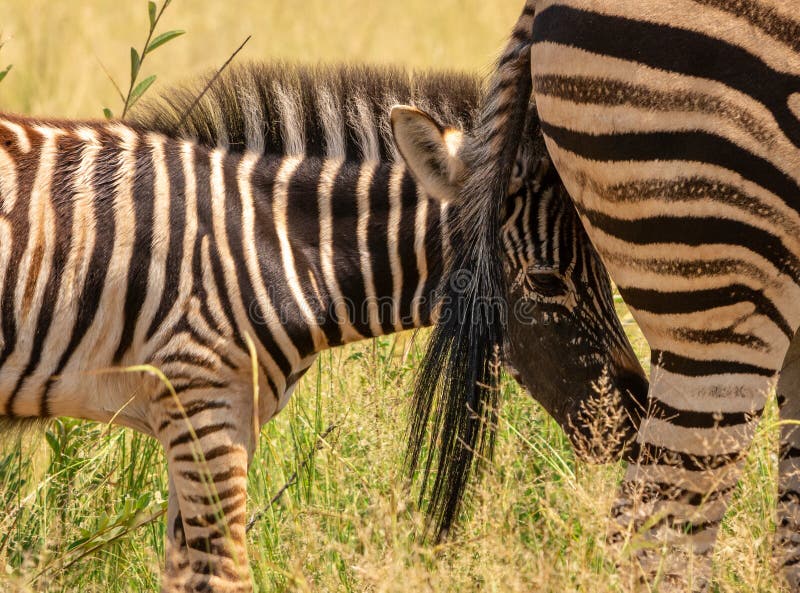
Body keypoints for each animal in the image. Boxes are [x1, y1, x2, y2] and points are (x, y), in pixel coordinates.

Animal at [0, 62, 645, 591]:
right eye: (545, 281)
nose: (636, 420)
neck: (273, 244)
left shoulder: (215, 415)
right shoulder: (201, 398)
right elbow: (224, 575)